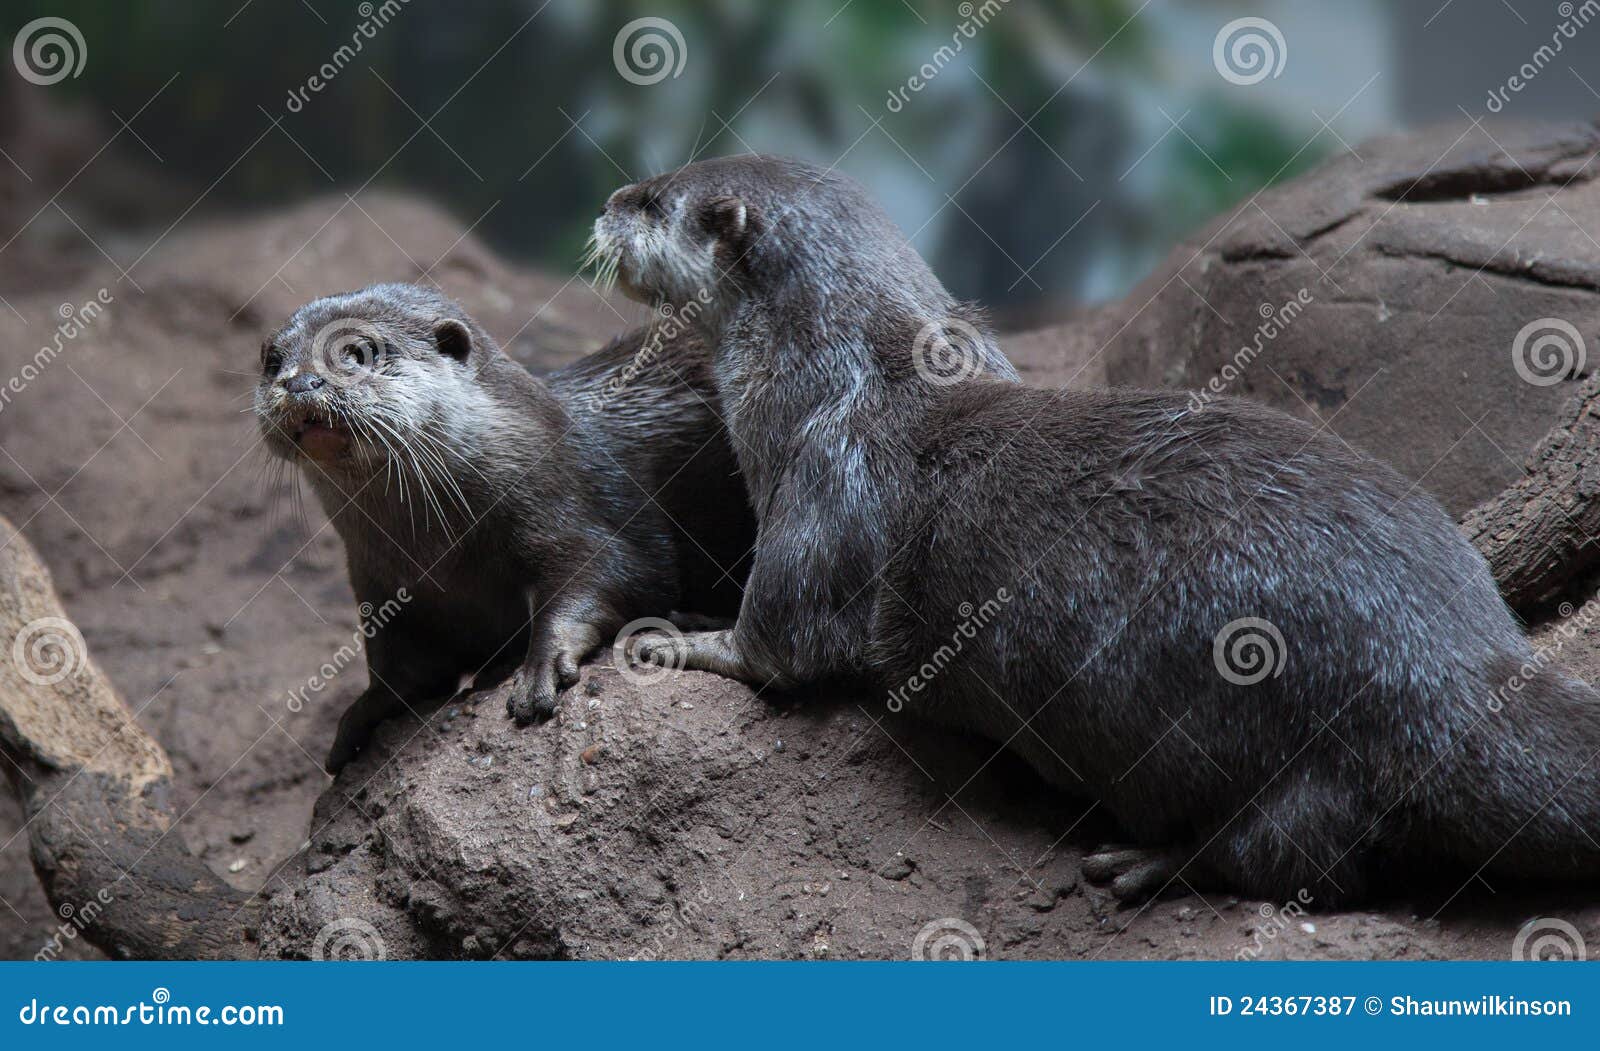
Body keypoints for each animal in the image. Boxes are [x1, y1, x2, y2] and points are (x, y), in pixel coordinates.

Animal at [255, 283, 752, 772]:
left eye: (359, 351)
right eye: (272, 361)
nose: (301, 381)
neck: (441, 553)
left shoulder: (579, 508)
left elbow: (613, 576)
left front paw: (539, 669)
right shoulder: (383, 592)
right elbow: (405, 671)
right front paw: (359, 716)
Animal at [592, 154, 1600, 906]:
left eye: (655, 199)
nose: (605, 202)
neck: (832, 374)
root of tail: (1453, 669)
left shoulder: (821, 477)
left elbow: (782, 641)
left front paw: (685, 636)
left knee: (1292, 862)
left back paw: (1149, 862)